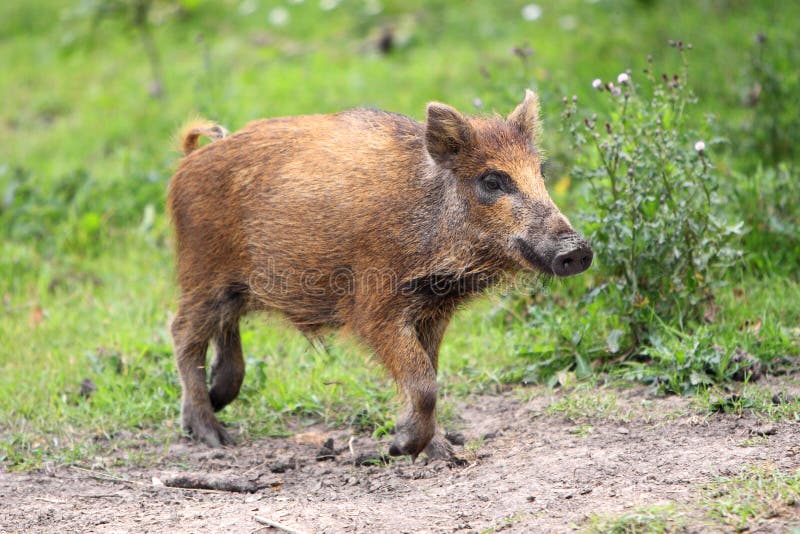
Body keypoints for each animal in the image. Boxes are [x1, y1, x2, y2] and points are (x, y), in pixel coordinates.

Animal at [167, 90, 592, 459]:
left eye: (541, 172)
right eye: (492, 180)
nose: (579, 250)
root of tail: (189, 160)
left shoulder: (433, 313)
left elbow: (430, 374)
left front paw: (443, 452)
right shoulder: (374, 310)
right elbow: (423, 383)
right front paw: (400, 447)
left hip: (228, 285)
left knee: (222, 328)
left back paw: (218, 401)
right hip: (201, 272)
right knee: (182, 332)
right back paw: (214, 436)